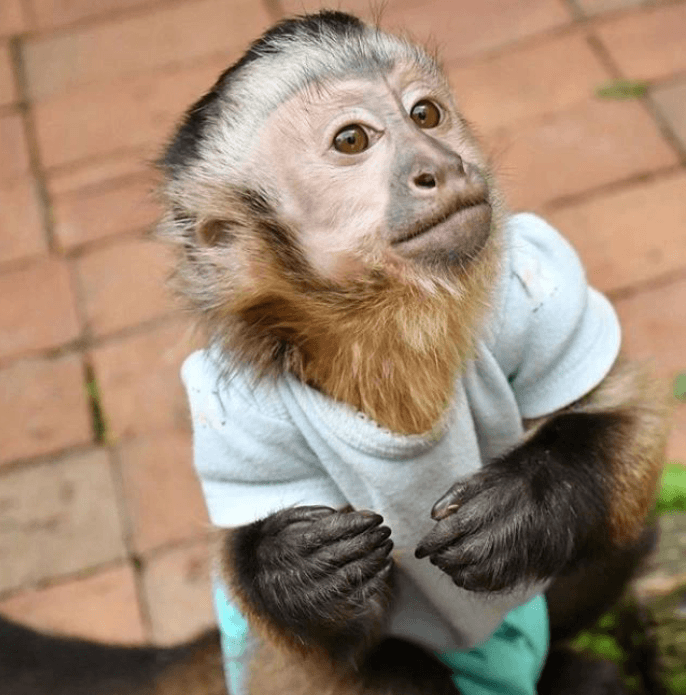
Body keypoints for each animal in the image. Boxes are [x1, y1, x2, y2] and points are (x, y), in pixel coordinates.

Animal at [151, 10, 671, 695]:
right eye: (351, 141)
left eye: (426, 115)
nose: (441, 165)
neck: (391, 319)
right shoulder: (235, 410)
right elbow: (308, 643)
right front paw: (296, 571)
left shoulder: (535, 276)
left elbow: (627, 414)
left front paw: (526, 502)